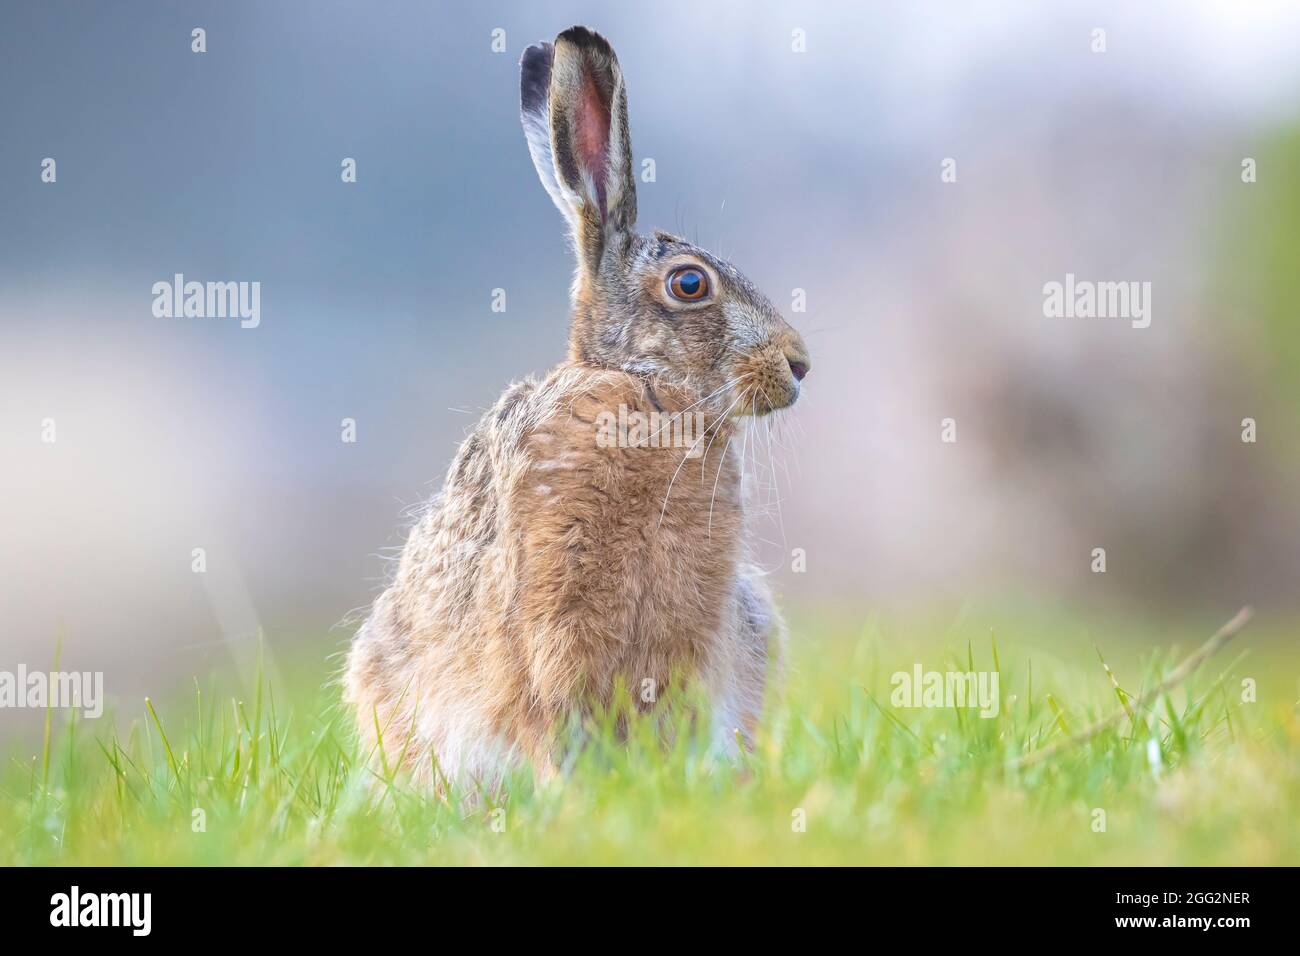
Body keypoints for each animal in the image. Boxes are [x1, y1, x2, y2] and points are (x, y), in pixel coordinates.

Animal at [344, 25, 810, 790]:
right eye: (689, 284)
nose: (799, 364)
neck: (645, 393)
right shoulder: (544, 622)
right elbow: (546, 713)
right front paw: (575, 794)